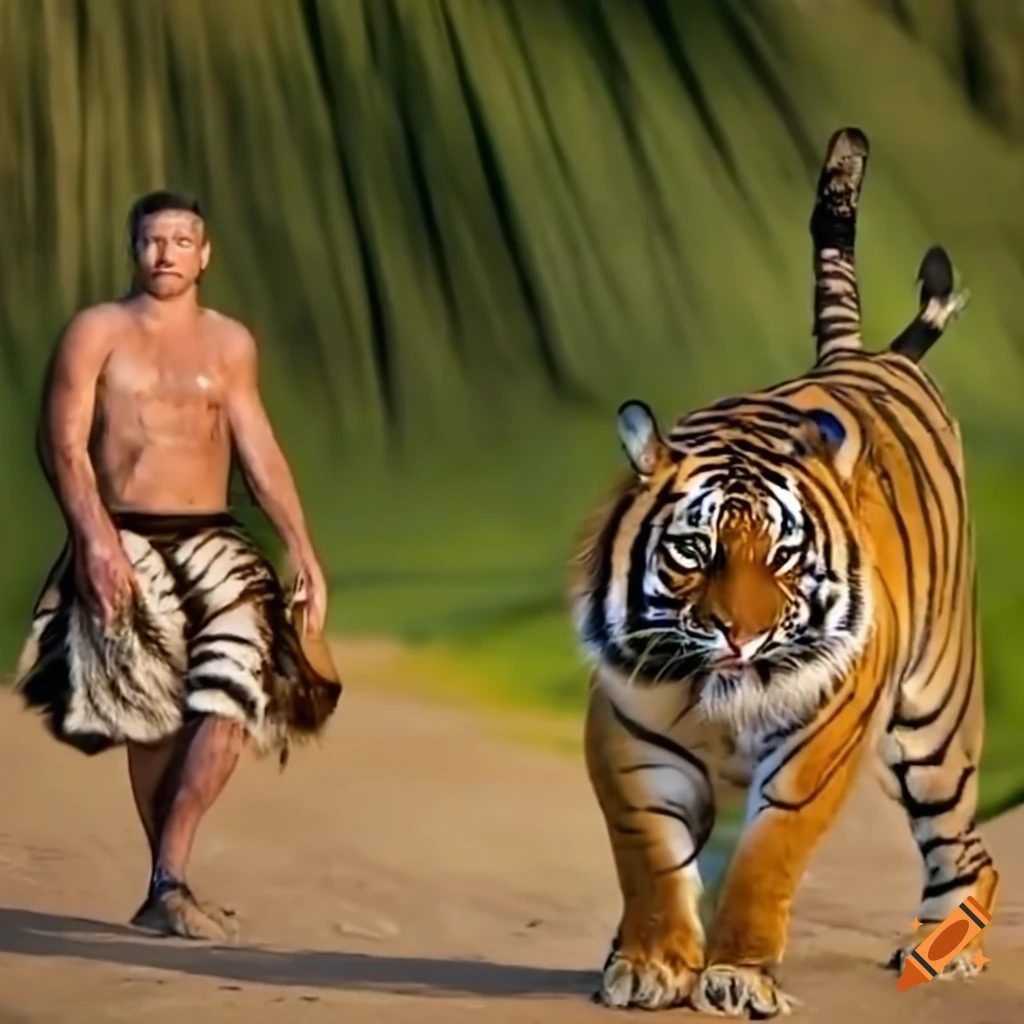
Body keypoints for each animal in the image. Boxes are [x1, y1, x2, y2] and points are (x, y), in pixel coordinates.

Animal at [568, 127, 999, 1017]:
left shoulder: (816, 746)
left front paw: (735, 976)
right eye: (693, 552)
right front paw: (653, 963)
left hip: (935, 724)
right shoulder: (630, 737)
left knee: (968, 851)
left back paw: (947, 951)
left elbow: (767, 860)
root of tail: (869, 358)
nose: (740, 637)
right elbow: (651, 862)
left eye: (785, 556)